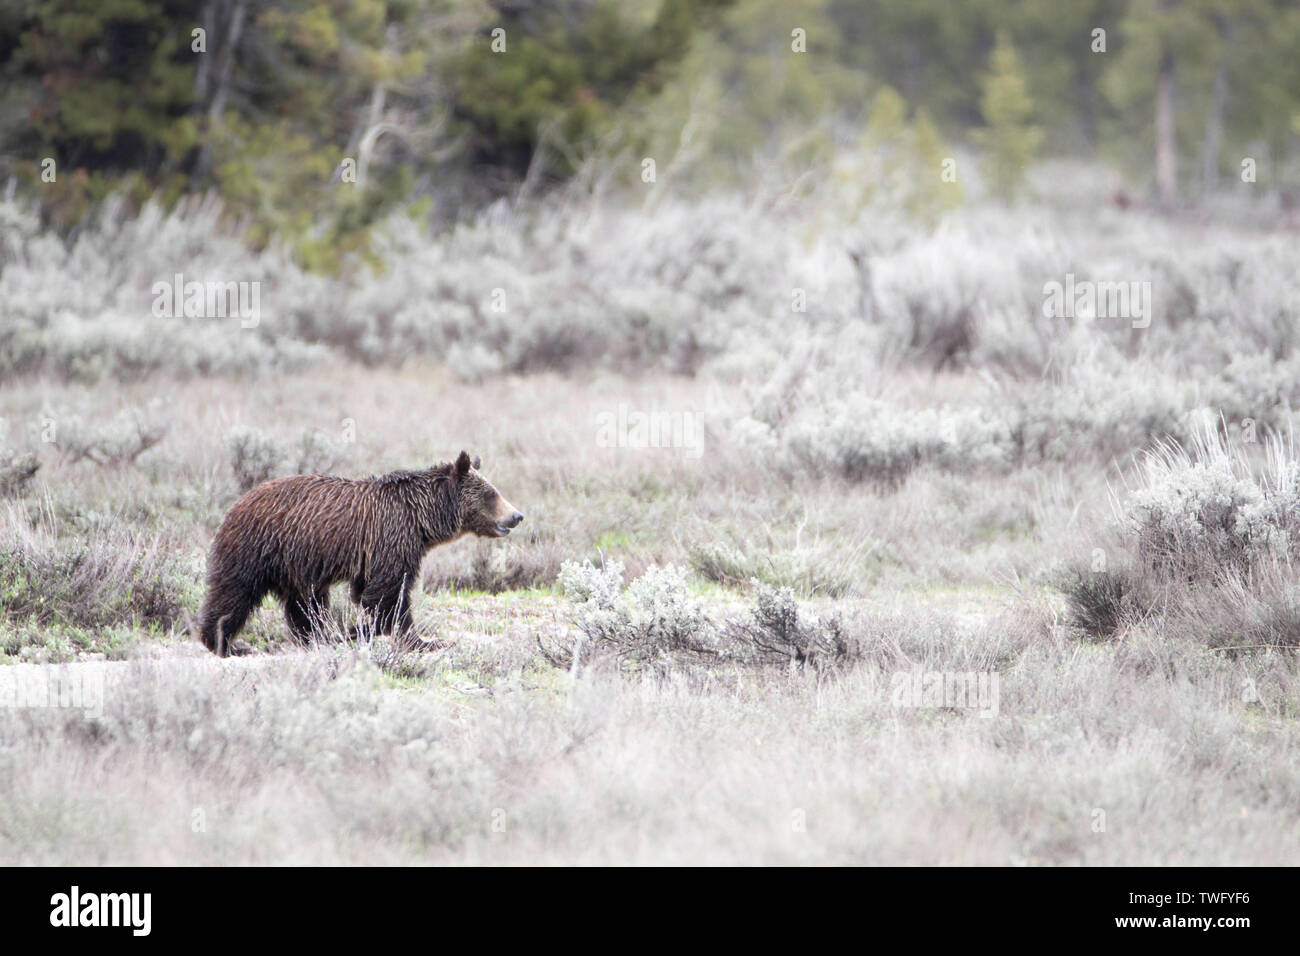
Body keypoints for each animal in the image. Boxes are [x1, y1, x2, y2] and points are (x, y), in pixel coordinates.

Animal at [198, 450, 522, 657]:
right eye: (491, 494)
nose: (516, 515)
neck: (422, 520)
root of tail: (236, 503)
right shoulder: (392, 540)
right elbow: (389, 595)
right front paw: (412, 639)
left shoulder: (378, 553)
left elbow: (372, 593)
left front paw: (359, 631)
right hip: (257, 548)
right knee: (234, 594)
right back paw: (226, 643)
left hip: (295, 564)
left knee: (303, 604)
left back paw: (316, 638)